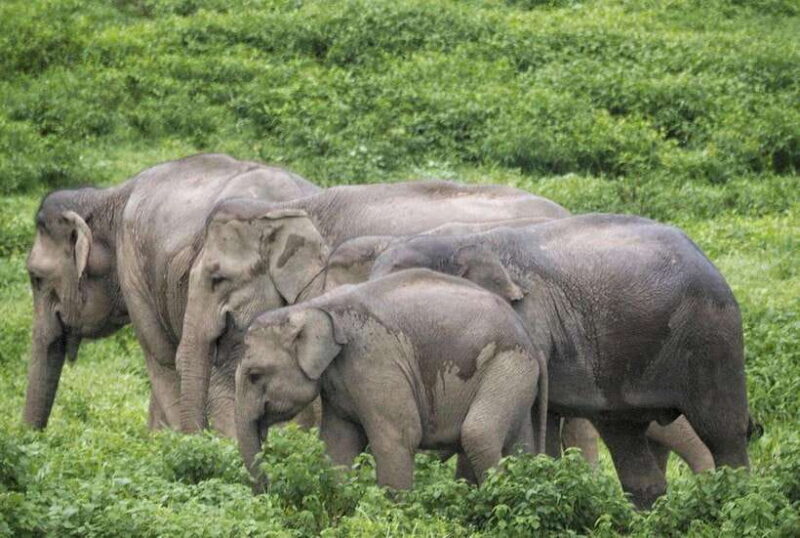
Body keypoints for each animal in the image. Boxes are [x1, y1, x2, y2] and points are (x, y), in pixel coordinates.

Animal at [235, 268, 548, 492]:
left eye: (254, 375)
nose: (269, 491)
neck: (314, 307)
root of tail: (531, 340)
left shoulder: (374, 359)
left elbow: (397, 437)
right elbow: (338, 444)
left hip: (508, 364)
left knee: (478, 434)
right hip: (516, 374)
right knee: (515, 445)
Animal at [370, 214, 753, 508]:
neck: (464, 239)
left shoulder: (527, 320)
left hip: (711, 336)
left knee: (723, 431)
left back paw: (732, 498)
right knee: (625, 437)